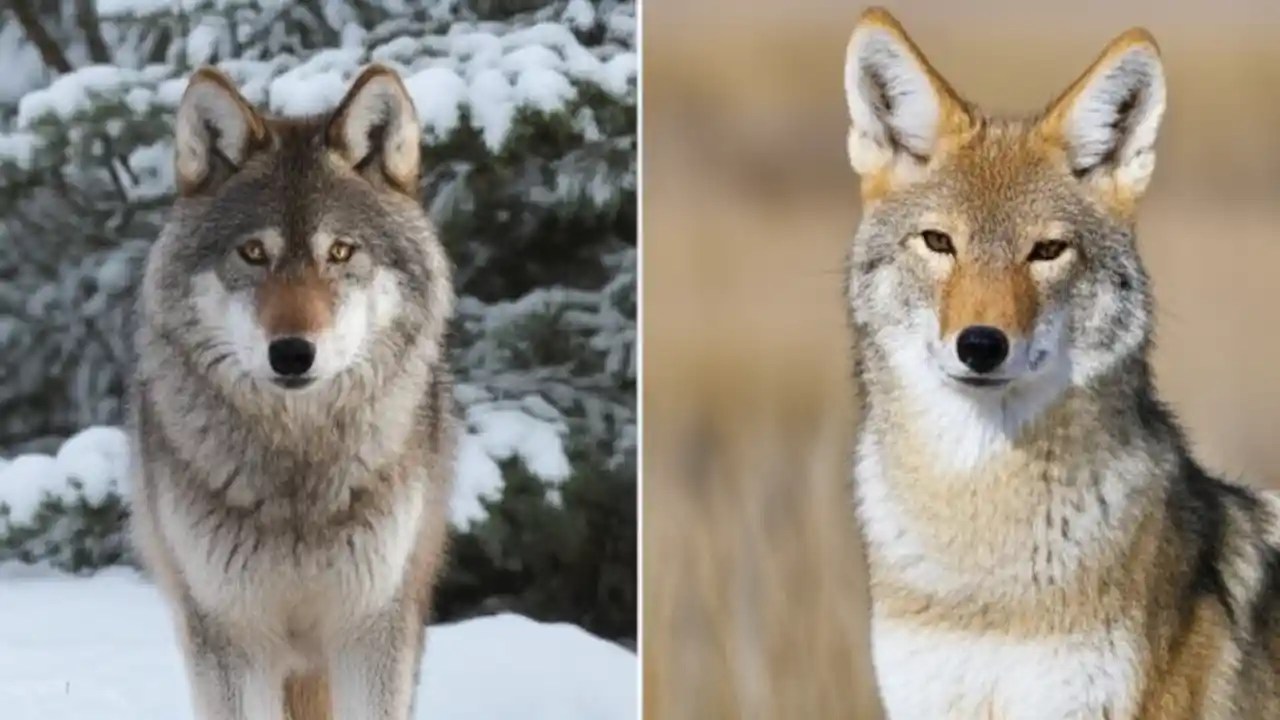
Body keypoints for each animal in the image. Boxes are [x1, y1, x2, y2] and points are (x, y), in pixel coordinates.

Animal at [128, 64, 455, 720]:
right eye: (254, 252)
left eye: (341, 251)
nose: (292, 353)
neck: (299, 466)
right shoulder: (230, 635)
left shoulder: (374, 629)